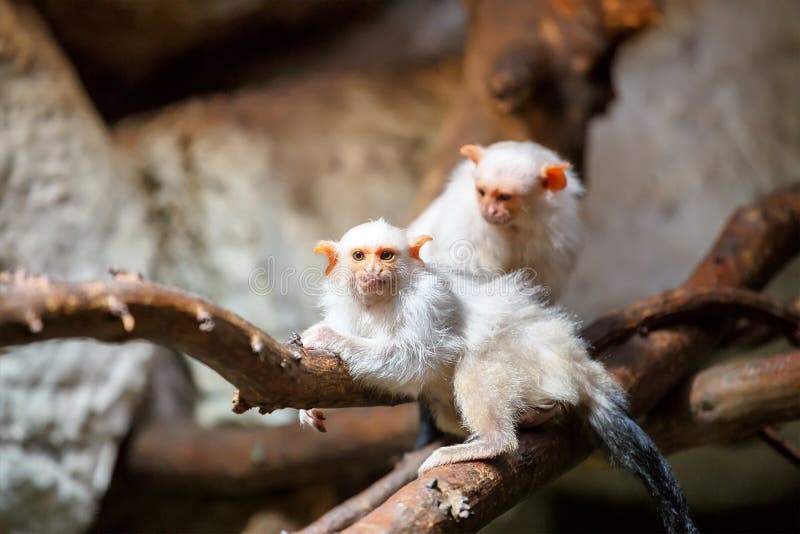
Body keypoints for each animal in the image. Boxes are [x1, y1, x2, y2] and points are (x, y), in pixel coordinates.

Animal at [300, 220, 697, 534]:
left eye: (386, 255)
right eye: (358, 256)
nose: (372, 272)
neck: (378, 304)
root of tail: (578, 366)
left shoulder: (425, 304)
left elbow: (412, 359)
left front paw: (326, 337)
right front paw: (311, 404)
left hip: (534, 361)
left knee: (476, 361)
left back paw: (492, 441)